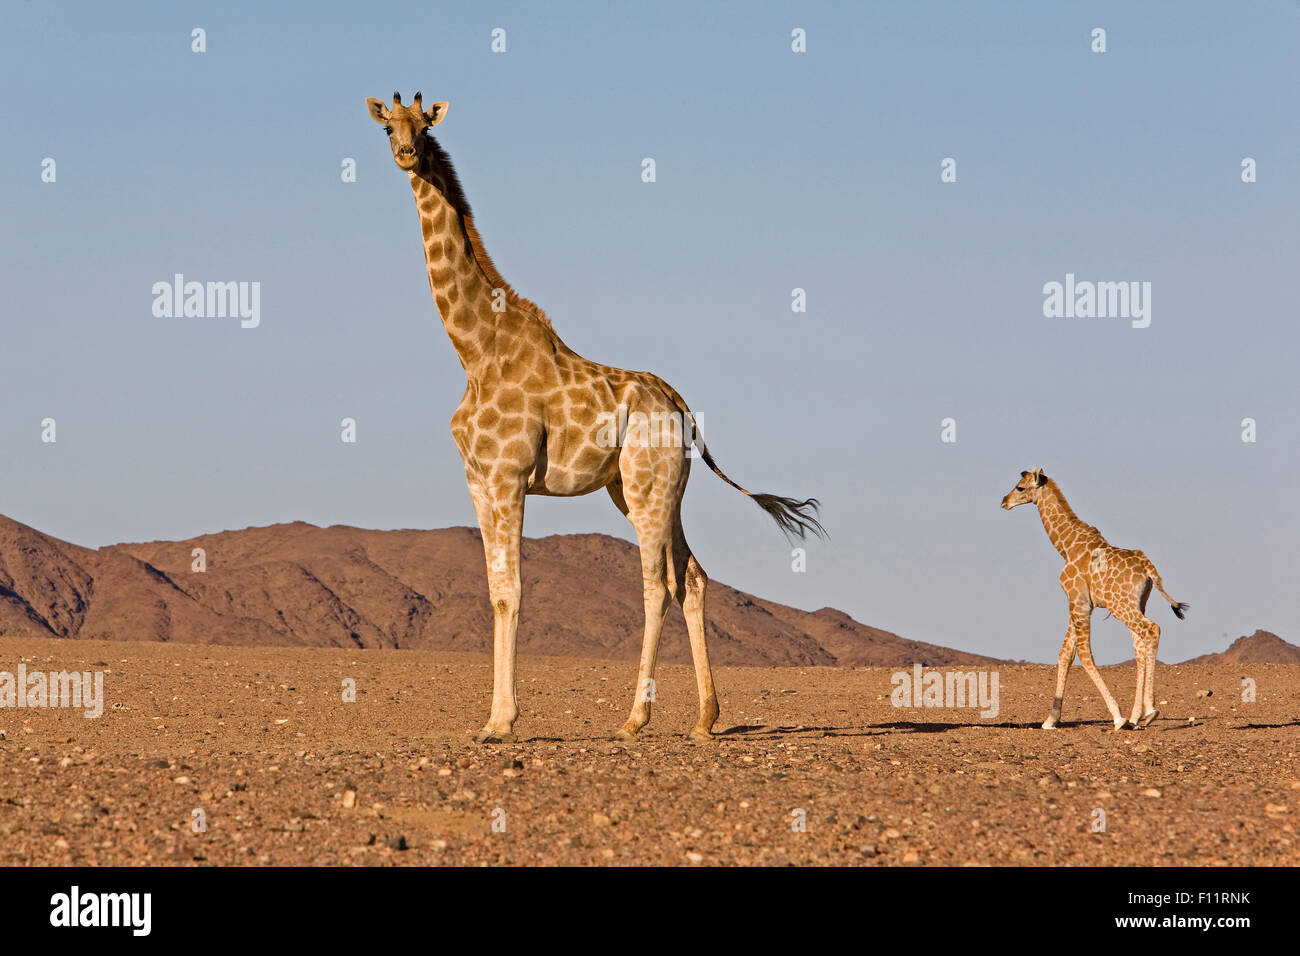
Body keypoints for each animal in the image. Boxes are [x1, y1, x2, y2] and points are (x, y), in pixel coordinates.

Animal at [366, 93, 824, 743]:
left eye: (424, 128)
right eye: (388, 127)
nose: (407, 154)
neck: (474, 349)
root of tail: (683, 409)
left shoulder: (509, 477)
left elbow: (512, 592)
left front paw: (503, 720)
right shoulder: (477, 479)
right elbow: (494, 591)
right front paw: (491, 718)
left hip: (645, 486)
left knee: (657, 585)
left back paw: (634, 719)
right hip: (644, 490)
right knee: (693, 578)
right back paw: (705, 719)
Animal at [1001, 468, 1188, 731]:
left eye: (1020, 487)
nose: (1004, 501)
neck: (1066, 545)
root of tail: (1148, 568)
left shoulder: (1077, 601)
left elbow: (1083, 653)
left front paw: (1117, 717)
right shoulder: (1080, 603)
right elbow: (1065, 654)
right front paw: (1050, 720)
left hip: (1121, 605)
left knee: (1152, 630)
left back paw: (1148, 712)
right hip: (1136, 603)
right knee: (1140, 645)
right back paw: (1137, 716)